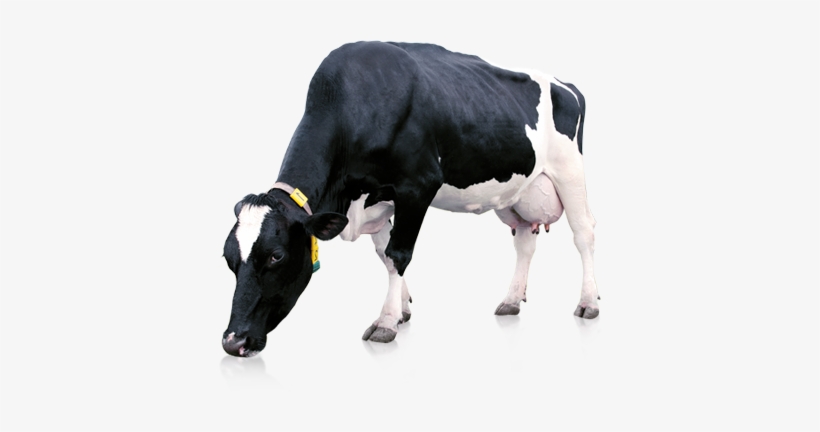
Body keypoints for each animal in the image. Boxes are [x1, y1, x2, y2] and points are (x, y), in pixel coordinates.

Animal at [222, 41, 598, 357]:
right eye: (227, 258)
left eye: (276, 256)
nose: (233, 341)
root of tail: (567, 85)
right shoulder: (377, 201)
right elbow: (384, 256)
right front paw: (401, 310)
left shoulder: (417, 187)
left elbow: (398, 255)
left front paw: (386, 322)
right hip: (515, 193)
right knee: (524, 241)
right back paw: (511, 300)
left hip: (570, 173)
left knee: (584, 234)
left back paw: (589, 302)